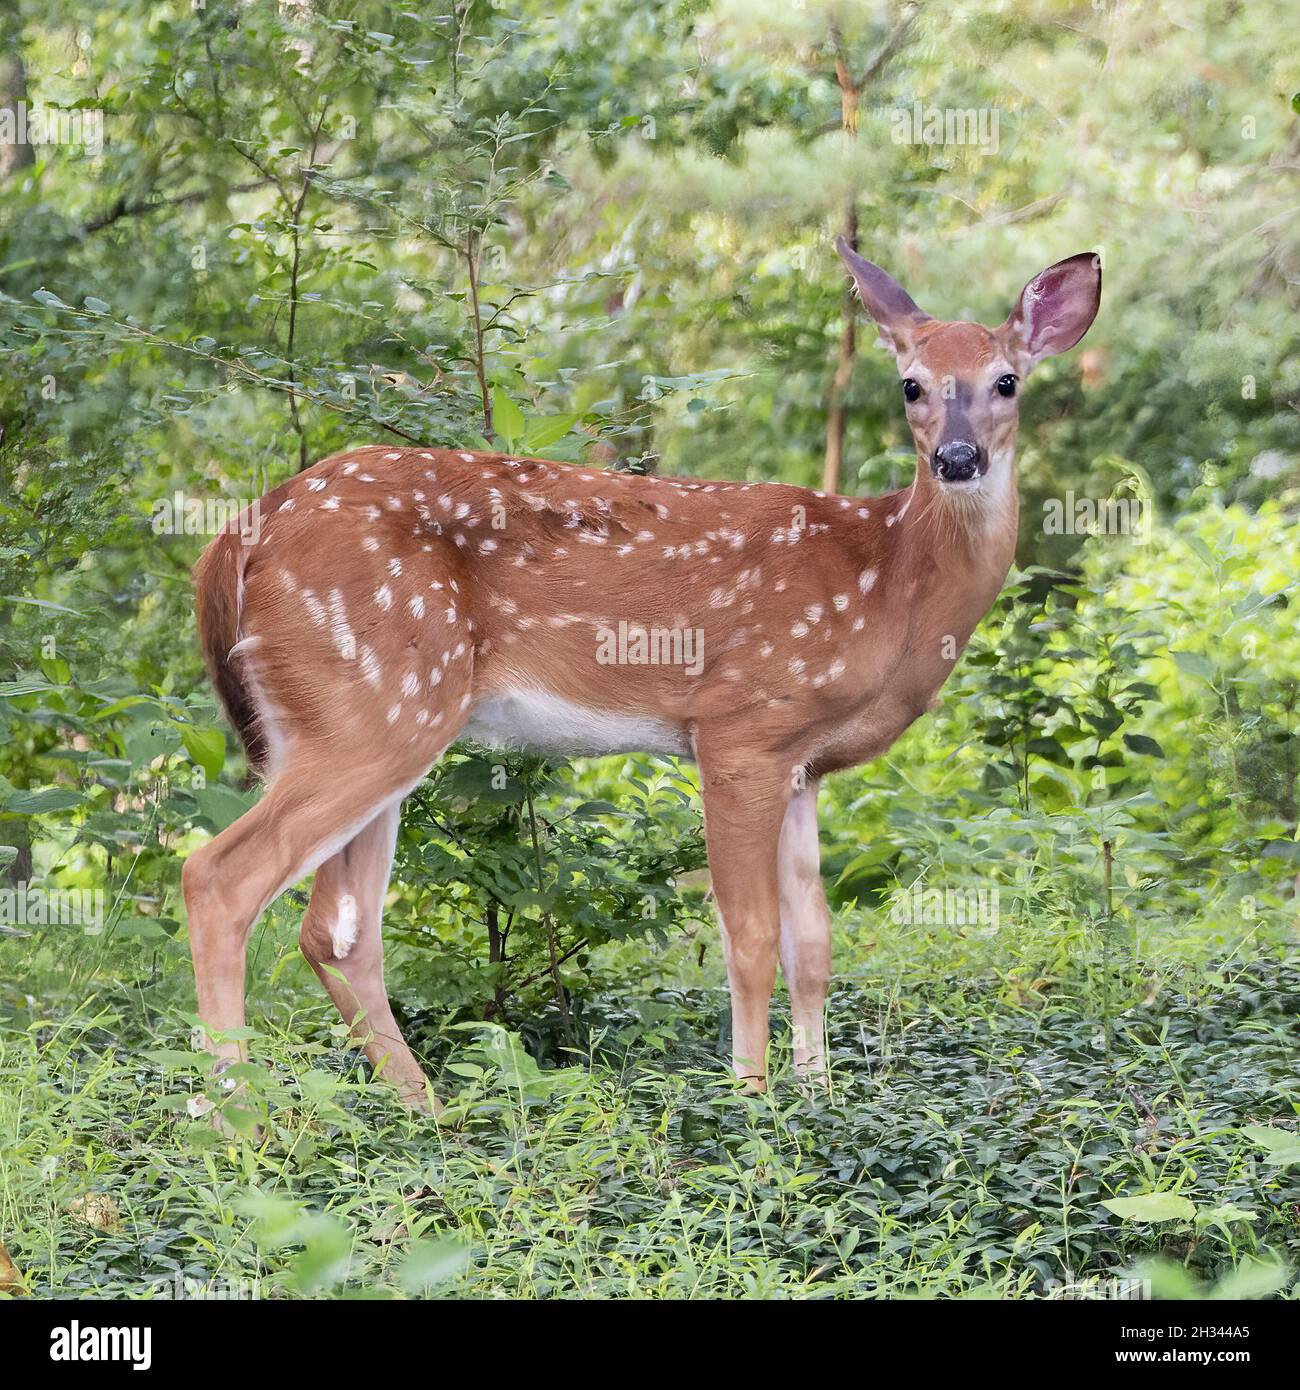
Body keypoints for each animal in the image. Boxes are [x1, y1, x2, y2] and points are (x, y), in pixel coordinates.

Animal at [183, 241, 1100, 1111]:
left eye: (1007, 381)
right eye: (910, 386)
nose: (957, 457)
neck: (888, 583)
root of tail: (238, 534)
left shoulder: (804, 764)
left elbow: (814, 944)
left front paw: (819, 1095)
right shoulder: (743, 725)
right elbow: (750, 936)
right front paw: (751, 1098)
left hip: (358, 718)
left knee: (335, 930)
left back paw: (428, 1112)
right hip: (369, 704)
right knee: (220, 880)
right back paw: (236, 1120)